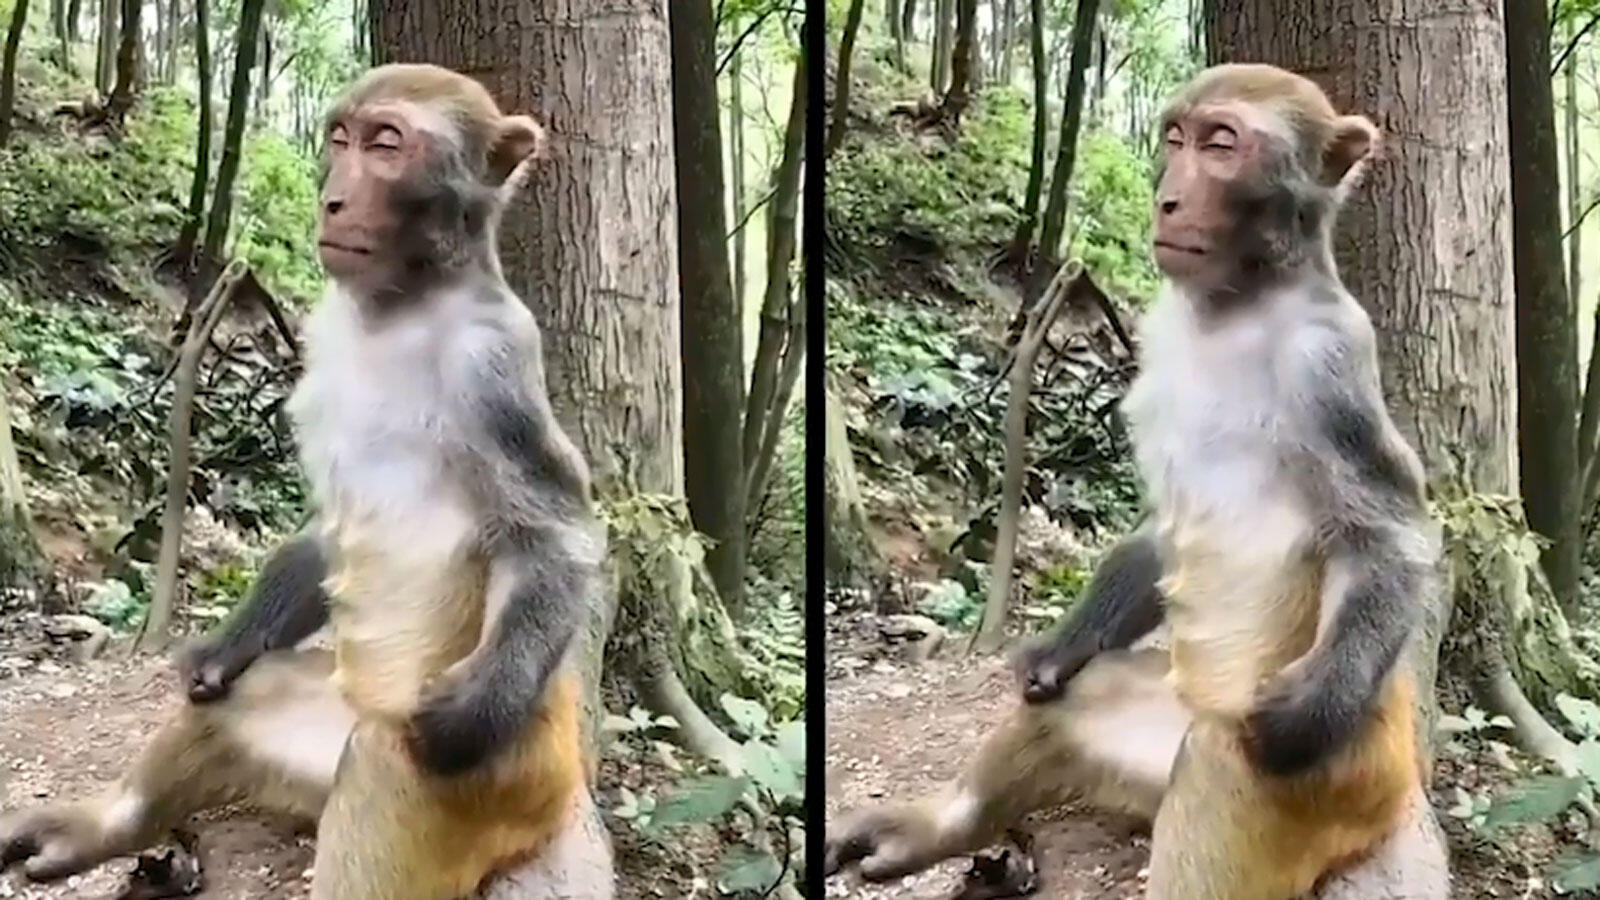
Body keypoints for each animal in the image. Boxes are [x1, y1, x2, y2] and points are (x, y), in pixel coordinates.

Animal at [0, 63, 615, 900]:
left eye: (386, 144)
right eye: (340, 138)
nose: (332, 199)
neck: (401, 311)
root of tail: (566, 782)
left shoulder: (493, 364)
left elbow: (553, 533)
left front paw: (472, 713)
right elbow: (324, 529)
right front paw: (225, 646)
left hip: (503, 778)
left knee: (384, 769)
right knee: (245, 700)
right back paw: (107, 826)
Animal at [826, 63, 1451, 899]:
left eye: (1221, 144)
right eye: (1175, 138)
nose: (1168, 199)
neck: (1236, 310)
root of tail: (1402, 780)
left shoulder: (1330, 363)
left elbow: (1390, 533)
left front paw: (1309, 712)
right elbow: (1158, 528)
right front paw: (1060, 648)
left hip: (1331, 778)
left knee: (1219, 777)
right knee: (1079, 702)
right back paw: (939, 827)